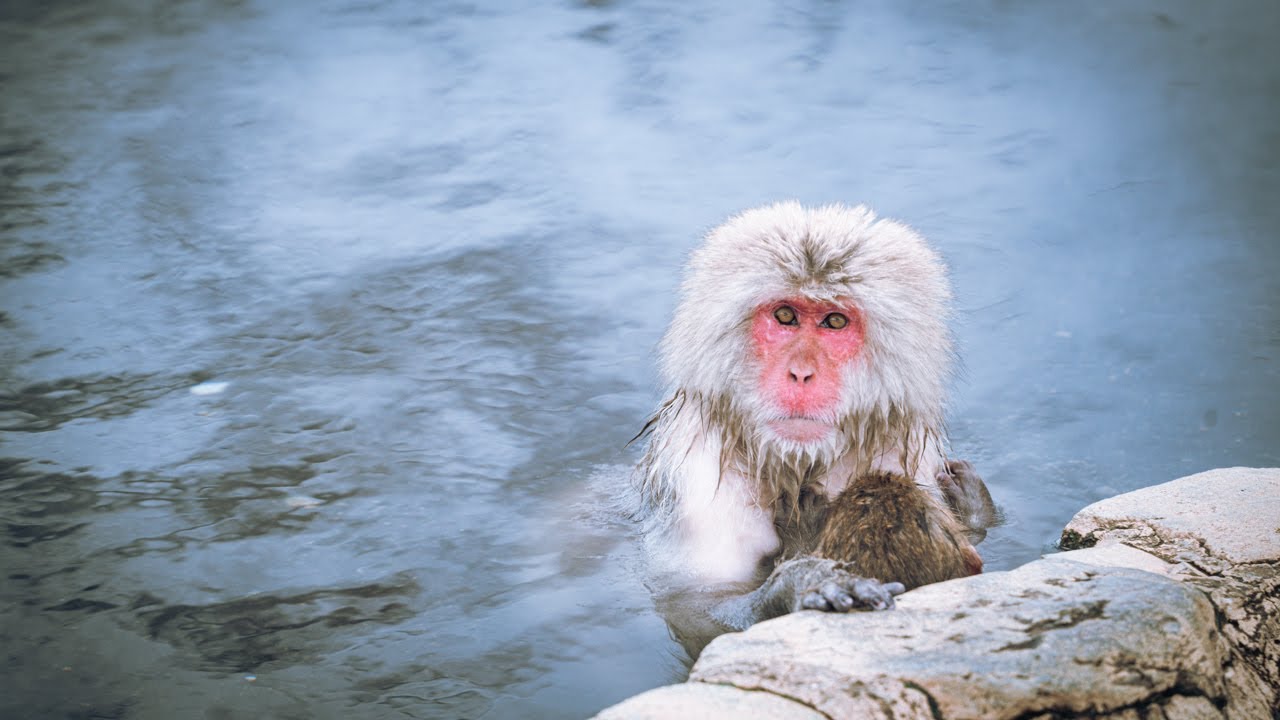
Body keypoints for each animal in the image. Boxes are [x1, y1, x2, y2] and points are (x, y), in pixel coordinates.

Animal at [633, 202, 998, 652]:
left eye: (835, 322)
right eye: (786, 316)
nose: (801, 373)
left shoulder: (906, 451)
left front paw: (973, 506)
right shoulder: (699, 483)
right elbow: (694, 604)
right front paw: (802, 583)